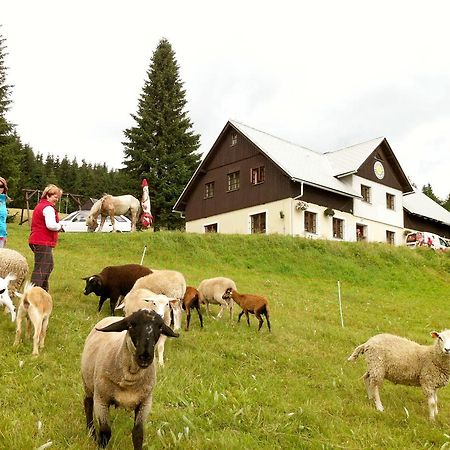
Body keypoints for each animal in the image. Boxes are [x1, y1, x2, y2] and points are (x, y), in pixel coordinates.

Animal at [81, 310, 179, 450]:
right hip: (88, 383)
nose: (145, 356)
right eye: (131, 325)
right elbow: (105, 432)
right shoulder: (101, 399)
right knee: (87, 403)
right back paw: (91, 432)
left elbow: (138, 433)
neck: (131, 377)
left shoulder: (145, 403)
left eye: (160, 327)